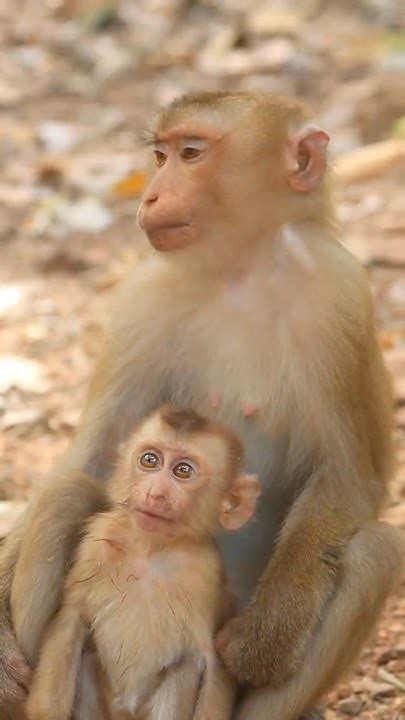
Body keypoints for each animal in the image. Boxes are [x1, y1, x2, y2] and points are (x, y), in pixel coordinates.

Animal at [26, 406, 260, 720]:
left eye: (183, 471)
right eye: (149, 460)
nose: (155, 493)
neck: (150, 551)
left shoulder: (206, 573)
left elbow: (213, 662)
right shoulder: (95, 545)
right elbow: (70, 621)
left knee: (184, 667)